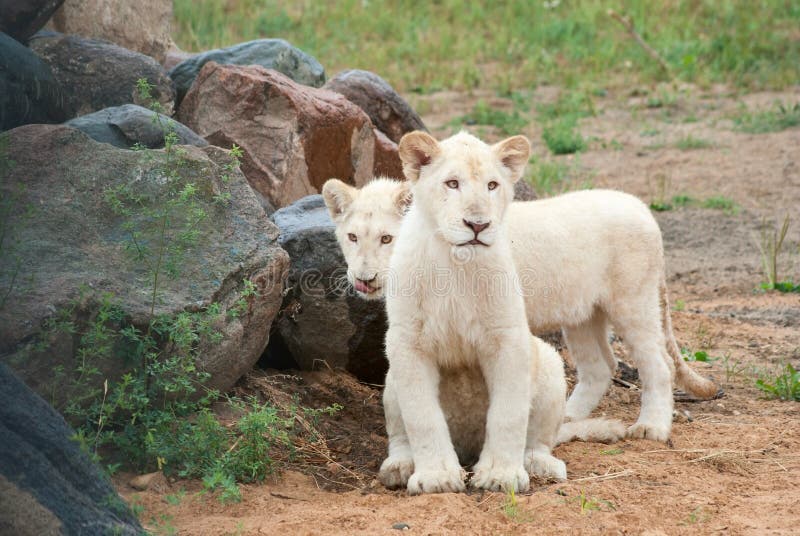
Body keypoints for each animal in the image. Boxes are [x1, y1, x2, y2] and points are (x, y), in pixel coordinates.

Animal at [323, 132, 718, 445]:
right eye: (352, 237)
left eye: (386, 239)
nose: (364, 278)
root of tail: (641, 206)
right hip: (583, 315)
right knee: (600, 367)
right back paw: (567, 416)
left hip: (633, 302)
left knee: (659, 364)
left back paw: (651, 427)